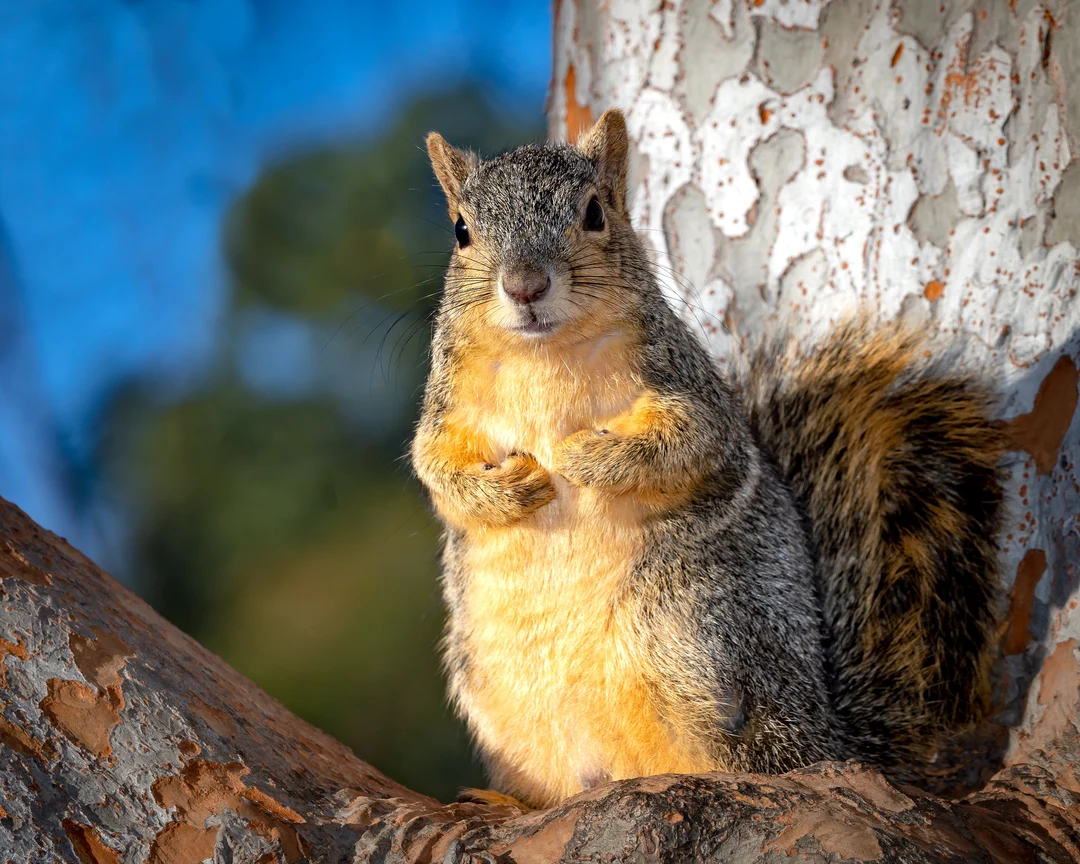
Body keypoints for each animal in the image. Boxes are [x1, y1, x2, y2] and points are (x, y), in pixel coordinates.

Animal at [411, 108, 1005, 810]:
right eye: (461, 230)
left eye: (594, 213)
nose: (525, 286)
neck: (544, 355)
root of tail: (829, 733)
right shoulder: (447, 411)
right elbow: (435, 472)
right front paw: (509, 489)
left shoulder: (688, 389)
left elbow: (688, 445)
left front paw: (588, 455)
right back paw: (510, 801)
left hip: (690, 630)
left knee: (756, 753)